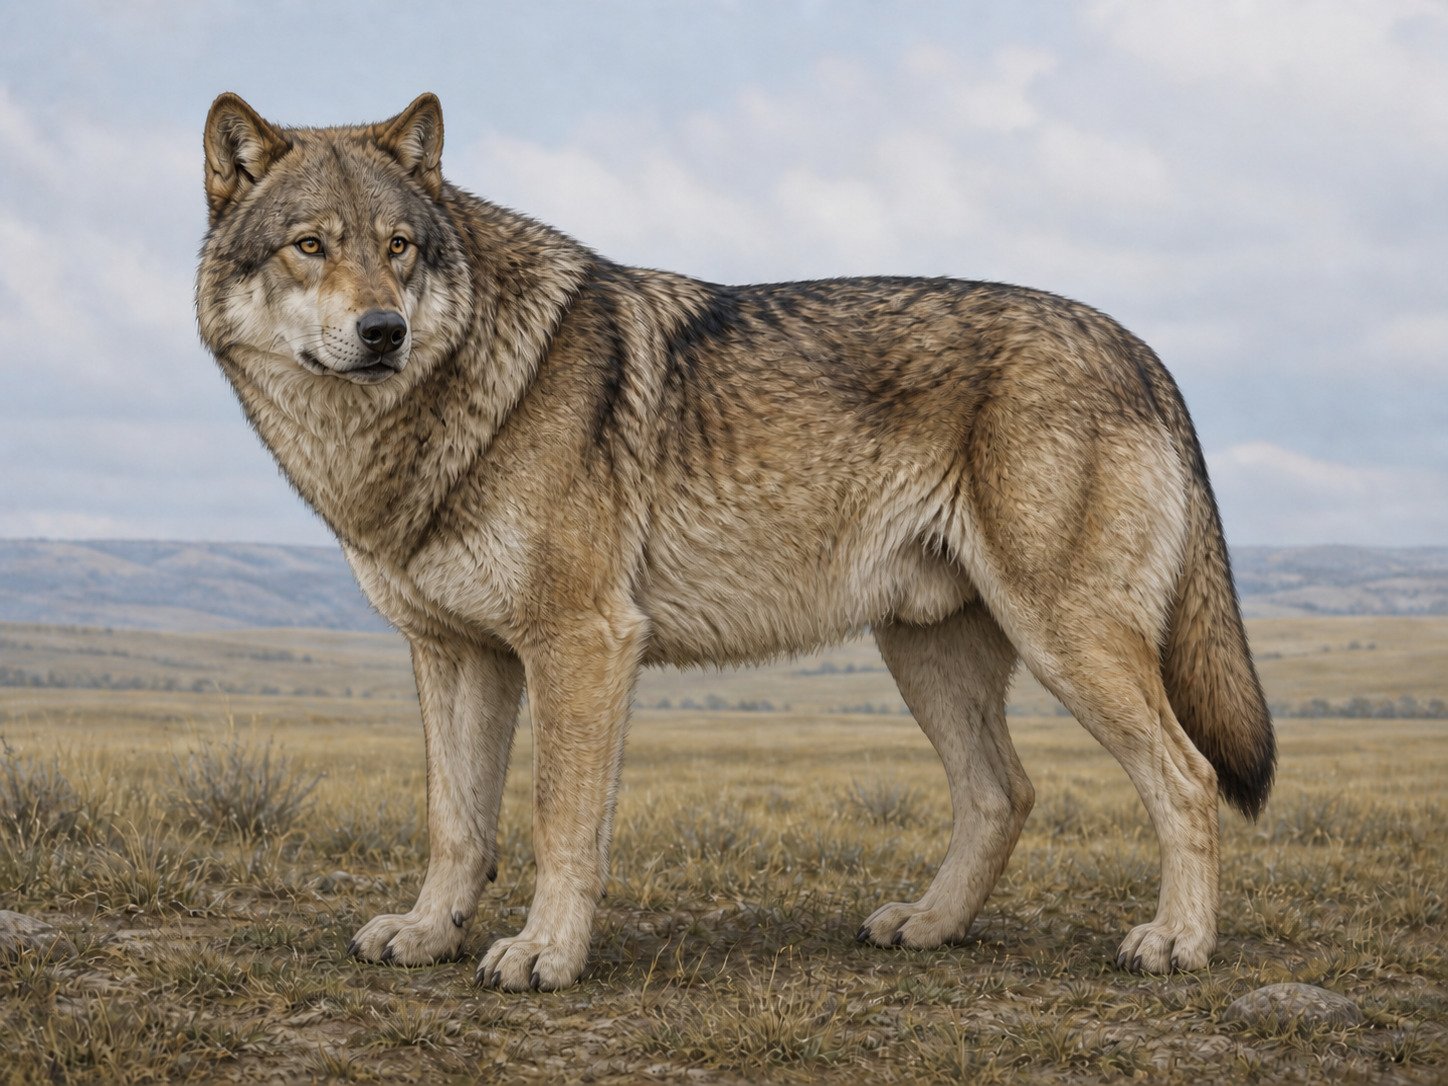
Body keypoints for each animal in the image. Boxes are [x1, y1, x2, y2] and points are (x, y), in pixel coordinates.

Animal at [196, 93, 1274, 991]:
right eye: (308, 246)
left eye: (400, 248)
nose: (383, 331)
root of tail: (1139, 347)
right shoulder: (456, 654)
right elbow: (455, 823)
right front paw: (428, 933)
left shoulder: (582, 644)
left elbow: (558, 822)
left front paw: (544, 954)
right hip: (928, 656)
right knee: (1001, 793)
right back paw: (930, 924)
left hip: (1064, 641)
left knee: (1186, 778)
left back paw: (1176, 943)